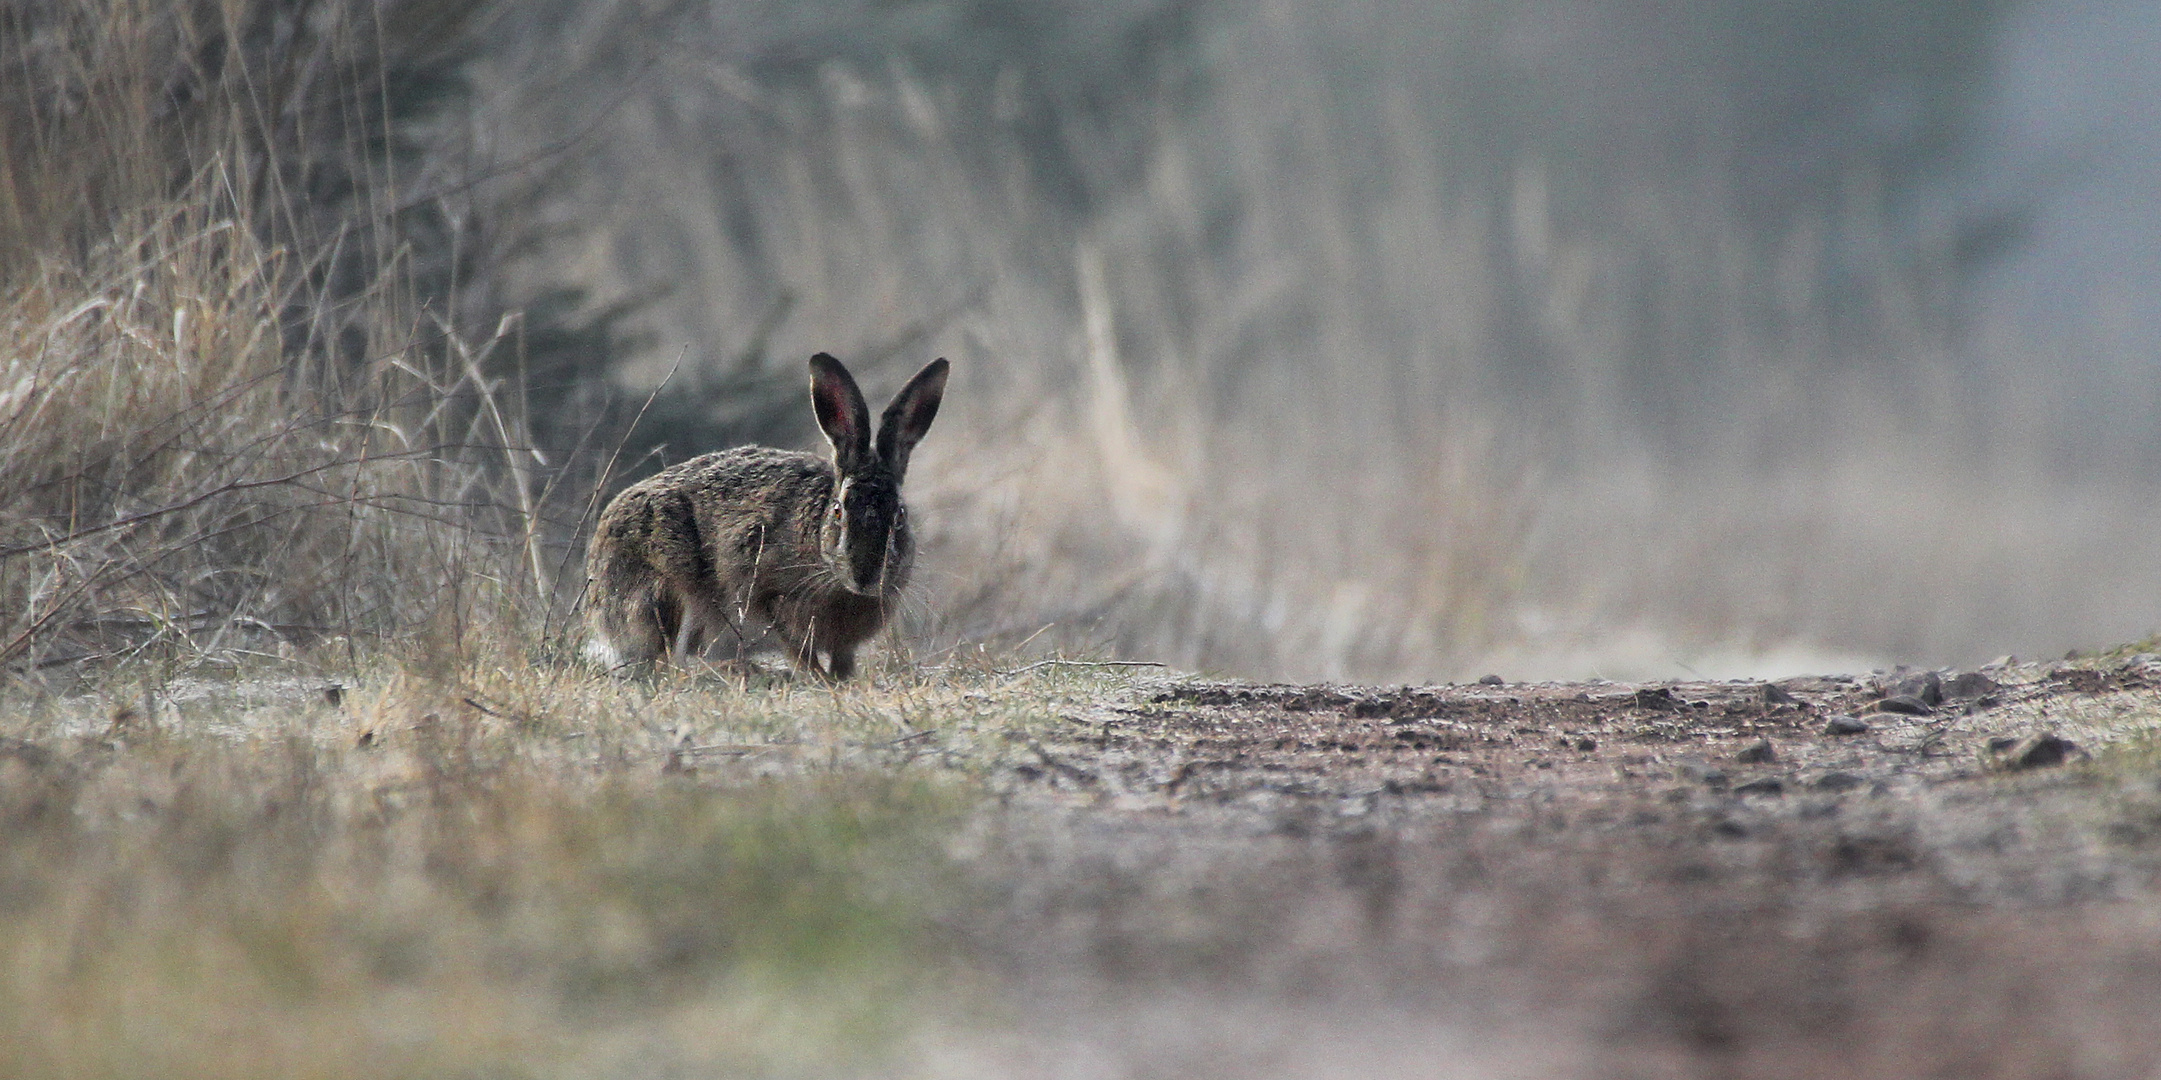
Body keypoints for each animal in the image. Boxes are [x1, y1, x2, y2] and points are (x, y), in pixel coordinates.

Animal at [583, 352, 948, 679]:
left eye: (900, 515)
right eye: (838, 511)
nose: (866, 576)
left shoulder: (845, 642)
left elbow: (842, 661)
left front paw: (842, 681)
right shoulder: (767, 595)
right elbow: (798, 651)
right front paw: (820, 681)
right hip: (668, 591)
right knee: (674, 661)